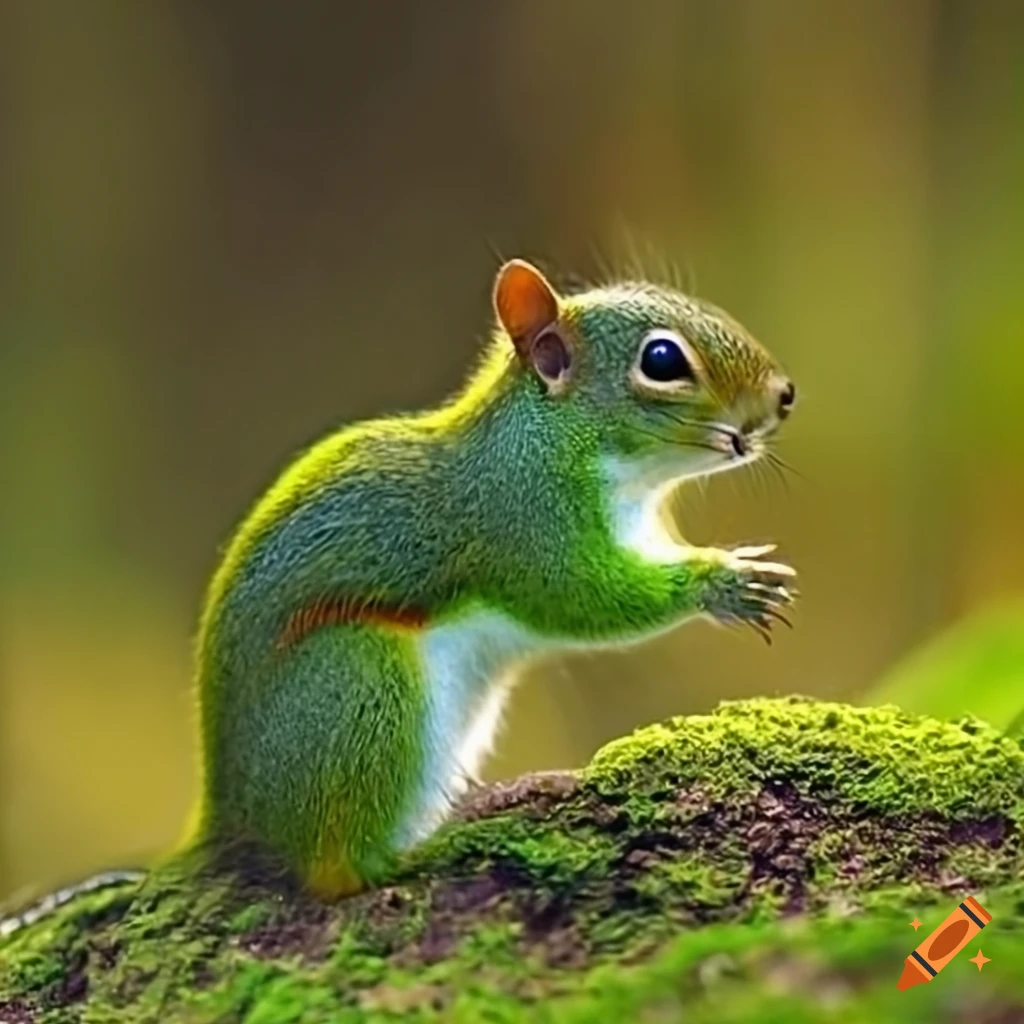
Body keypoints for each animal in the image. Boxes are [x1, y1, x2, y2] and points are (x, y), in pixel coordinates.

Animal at [182, 258, 799, 901]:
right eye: (661, 360)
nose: (785, 395)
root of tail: (234, 820)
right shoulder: (525, 522)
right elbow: (586, 597)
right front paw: (721, 581)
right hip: (356, 678)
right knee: (338, 871)